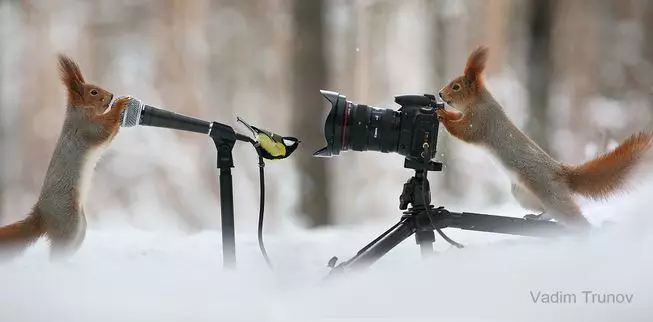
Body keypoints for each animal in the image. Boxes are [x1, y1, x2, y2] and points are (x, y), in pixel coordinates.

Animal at [0, 54, 132, 260]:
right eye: (93, 92)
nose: (111, 96)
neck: (81, 110)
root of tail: (42, 216)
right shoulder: (86, 129)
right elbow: (103, 130)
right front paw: (120, 104)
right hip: (69, 221)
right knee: (59, 250)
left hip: (79, 226)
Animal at [436, 46, 652, 230]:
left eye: (456, 87)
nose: (439, 93)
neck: (479, 102)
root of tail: (562, 173)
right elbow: (459, 120)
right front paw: (445, 112)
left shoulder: (482, 121)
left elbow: (465, 132)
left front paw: (443, 115)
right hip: (523, 194)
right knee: (549, 213)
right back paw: (537, 217)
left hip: (548, 191)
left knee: (569, 215)